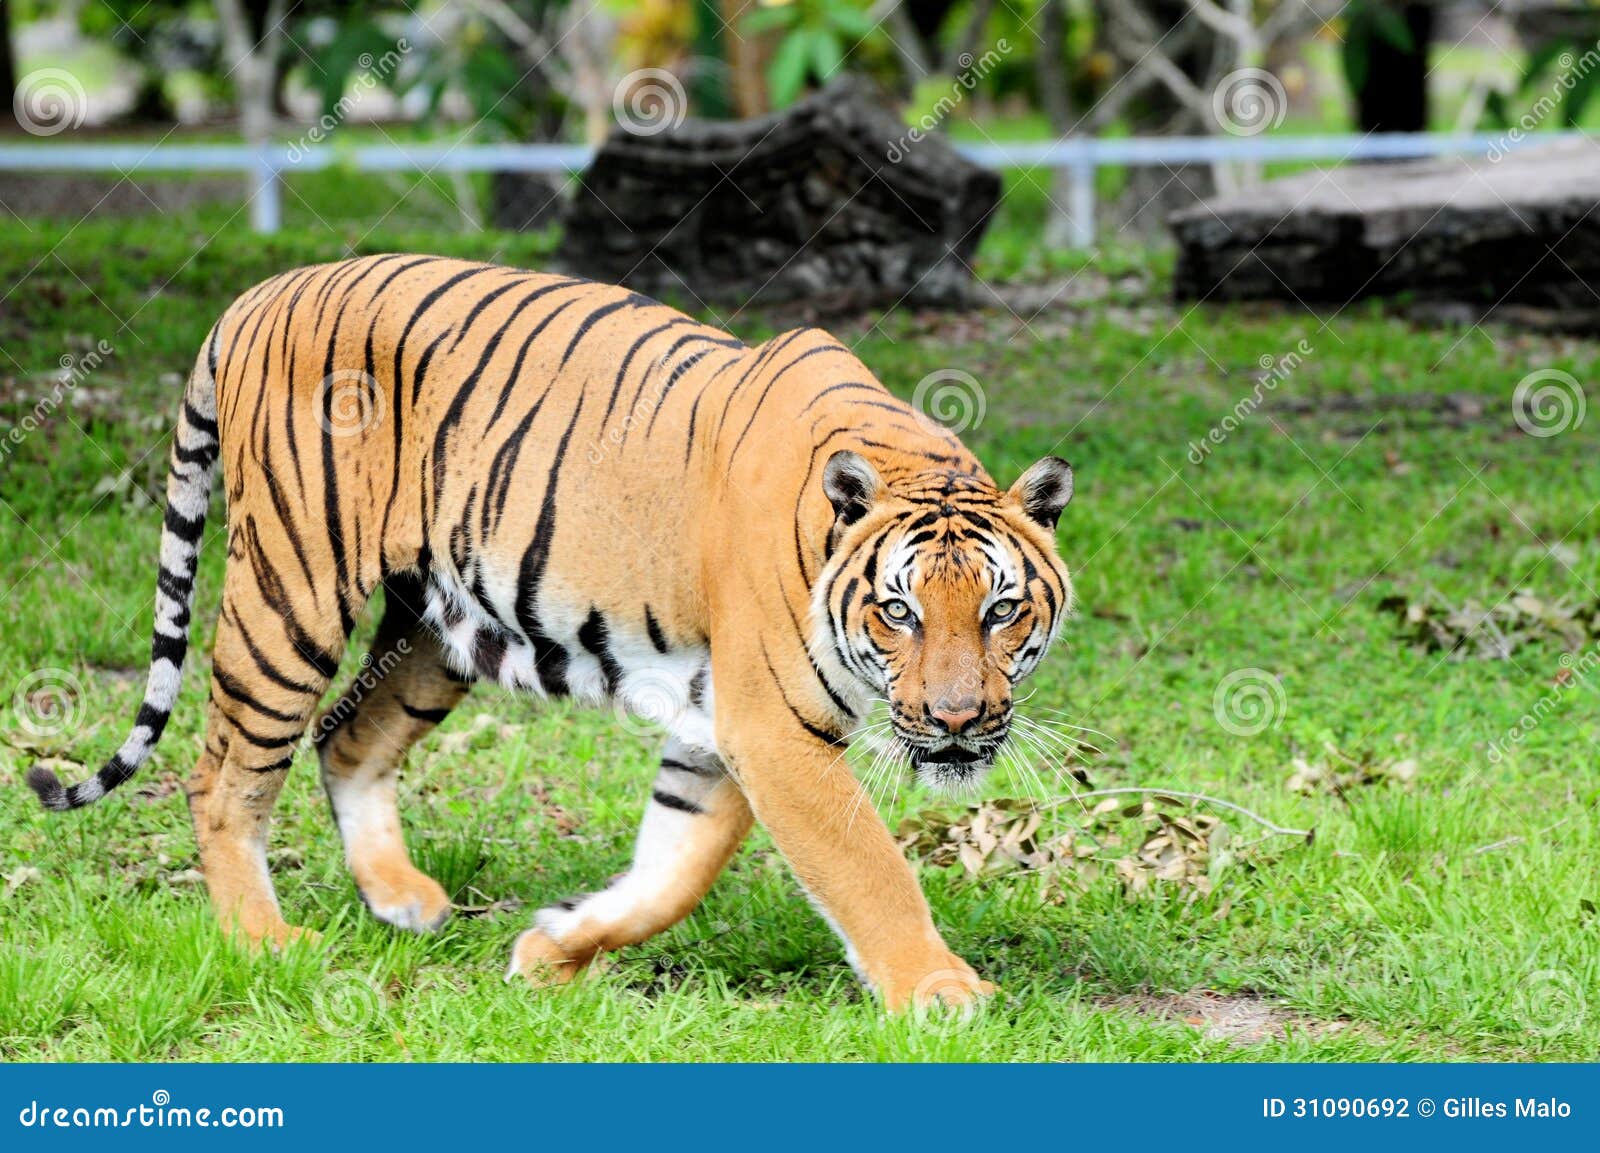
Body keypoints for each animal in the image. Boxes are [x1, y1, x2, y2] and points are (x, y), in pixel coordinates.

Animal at [27, 254, 1075, 1012]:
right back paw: (265, 939)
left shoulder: (716, 727)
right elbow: (867, 867)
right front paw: (941, 992)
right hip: (291, 593)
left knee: (348, 736)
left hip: (439, 628)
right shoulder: (772, 728)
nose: (957, 721)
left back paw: (399, 896)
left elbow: (673, 872)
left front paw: (550, 950)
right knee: (224, 774)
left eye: (1000, 610)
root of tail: (252, 298)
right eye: (898, 612)